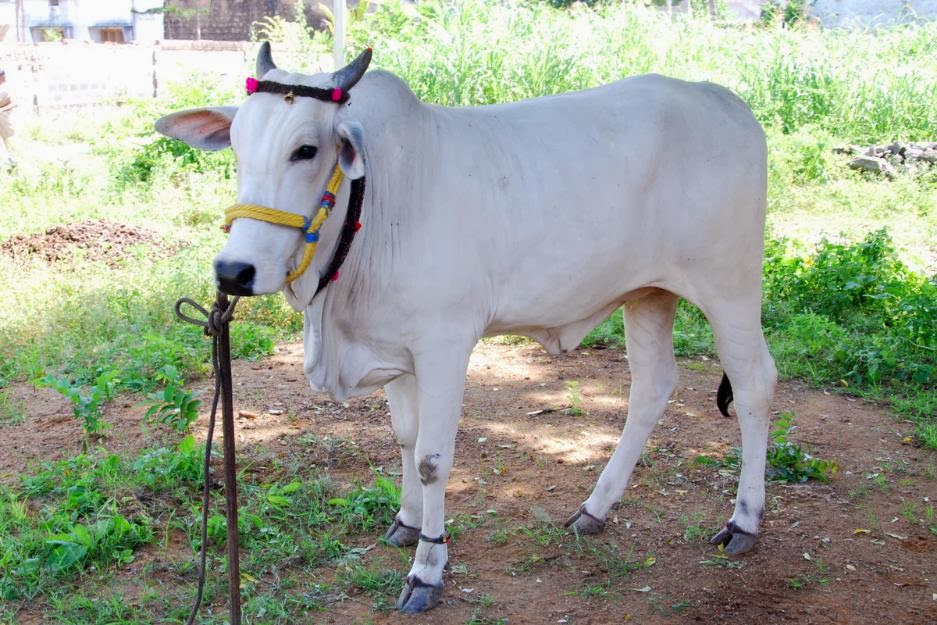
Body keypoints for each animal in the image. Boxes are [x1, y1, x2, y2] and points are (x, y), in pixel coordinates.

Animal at [156, 43, 777, 613]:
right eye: (237, 148)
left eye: (305, 150)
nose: (233, 271)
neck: (377, 203)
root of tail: (721, 99)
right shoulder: (395, 348)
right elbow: (405, 438)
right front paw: (406, 522)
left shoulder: (444, 346)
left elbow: (432, 459)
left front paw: (427, 567)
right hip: (649, 294)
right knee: (652, 386)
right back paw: (595, 508)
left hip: (729, 286)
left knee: (754, 384)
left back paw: (743, 520)